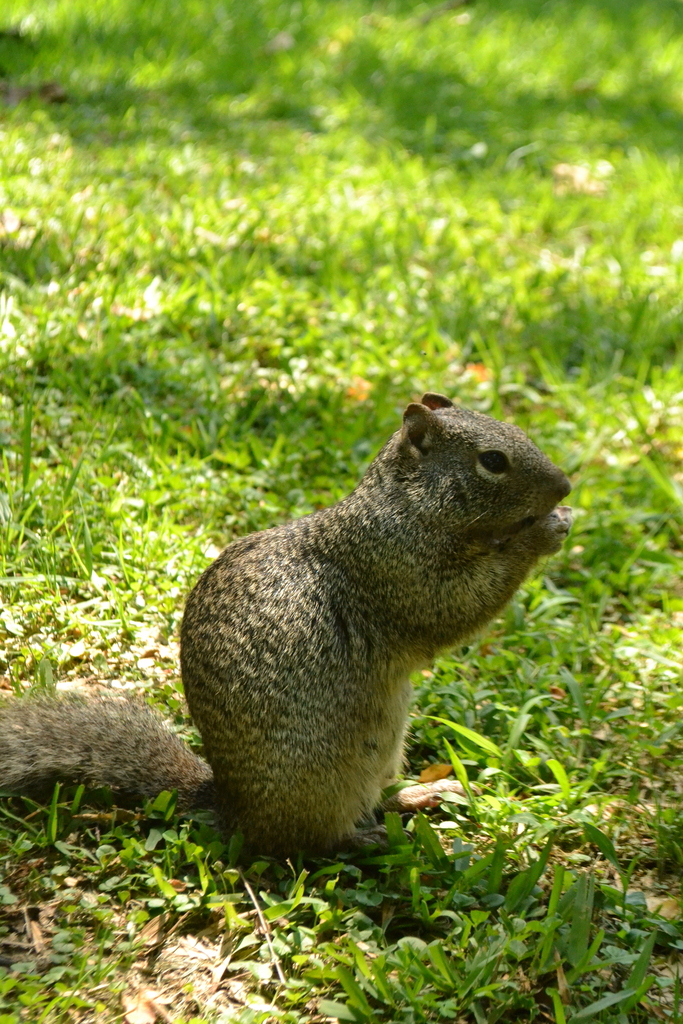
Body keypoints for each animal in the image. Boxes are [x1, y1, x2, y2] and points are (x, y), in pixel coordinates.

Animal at [0, 393, 572, 857]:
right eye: (492, 461)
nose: (565, 487)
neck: (402, 508)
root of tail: (235, 809)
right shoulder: (395, 570)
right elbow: (456, 606)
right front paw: (543, 533)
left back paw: (424, 792)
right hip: (321, 783)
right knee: (309, 840)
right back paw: (368, 838)